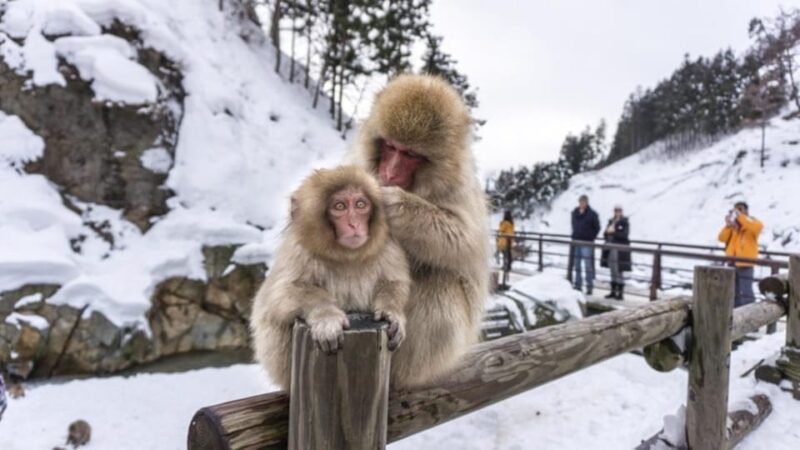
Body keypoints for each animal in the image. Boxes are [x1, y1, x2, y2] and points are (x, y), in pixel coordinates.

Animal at [250, 165, 410, 389]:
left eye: (360, 204)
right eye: (340, 206)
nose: (354, 224)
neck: (346, 256)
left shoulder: (387, 247)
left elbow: (395, 282)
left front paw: (391, 313)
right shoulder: (299, 252)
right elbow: (282, 294)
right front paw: (327, 316)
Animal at [352, 74, 490, 387]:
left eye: (411, 154)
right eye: (391, 147)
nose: (389, 173)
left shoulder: (460, 189)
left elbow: (465, 242)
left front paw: (395, 205)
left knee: (441, 281)